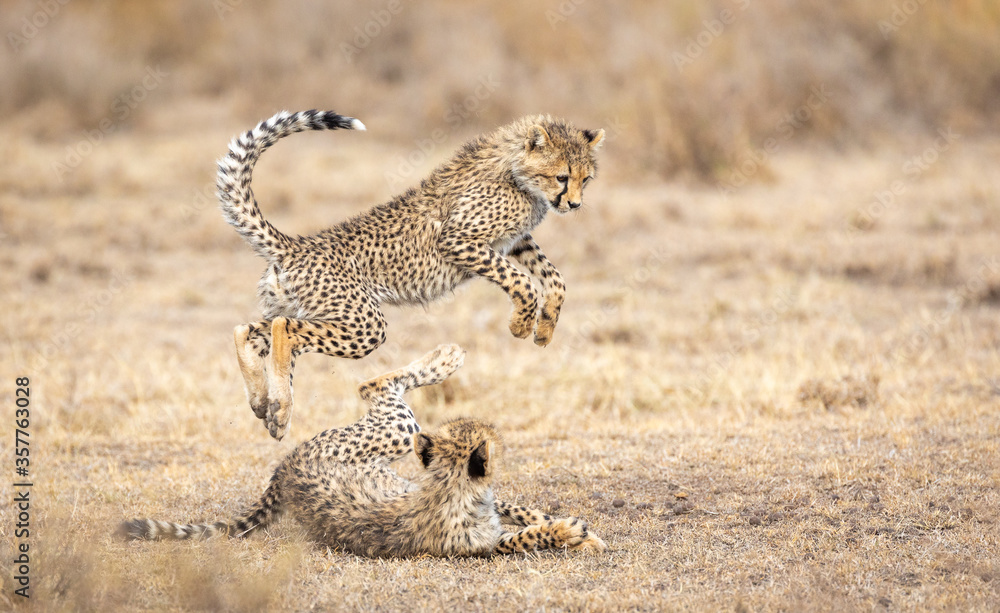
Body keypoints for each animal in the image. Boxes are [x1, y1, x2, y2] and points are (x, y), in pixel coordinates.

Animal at [118, 344, 607, 557]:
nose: (495, 431)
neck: (447, 487)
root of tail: (283, 468)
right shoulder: (477, 546)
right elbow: (523, 535)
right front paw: (569, 532)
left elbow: (517, 510)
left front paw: (573, 526)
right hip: (396, 430)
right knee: (374, 384)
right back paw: (447, 356)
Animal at [218, 109, 605, 439]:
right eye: (562, 177)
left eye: (586, 179)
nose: (574, 204)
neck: (516, 171)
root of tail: (295, 246)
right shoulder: (460, 240)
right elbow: (522, 281)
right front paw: (521, 324)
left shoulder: (515, 241)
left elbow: (554, 278)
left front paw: (545, 327)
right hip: (363, 325)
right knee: (284, 329)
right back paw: (280, 409)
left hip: (306, 310)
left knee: (249, 330)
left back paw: (266, 404)